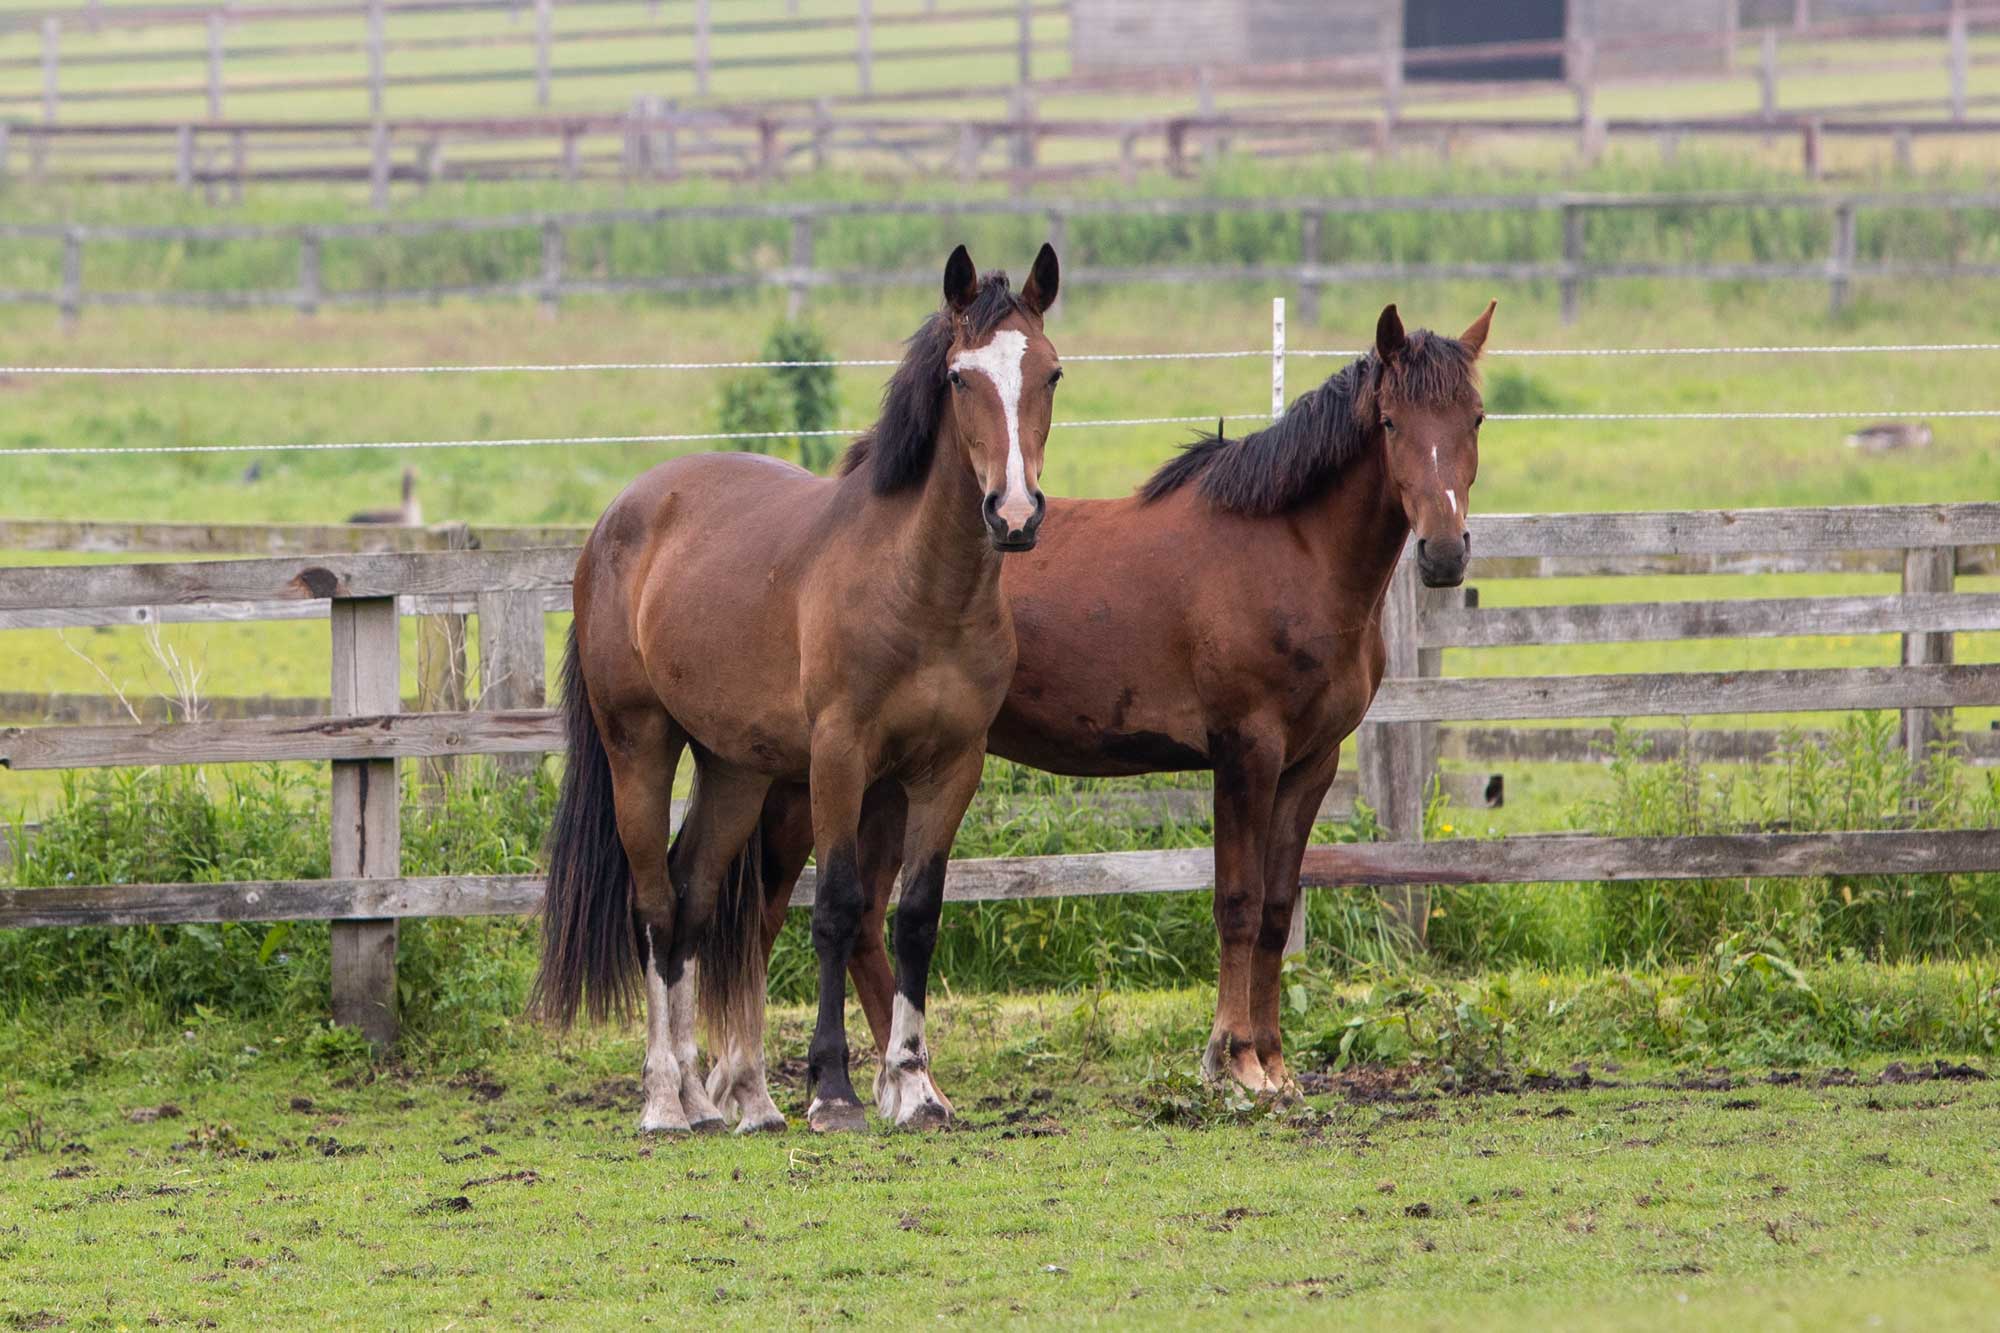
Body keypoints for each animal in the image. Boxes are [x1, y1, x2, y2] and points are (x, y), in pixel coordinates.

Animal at [531, 243, 1064, 1135]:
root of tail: (617, 517)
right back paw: (665, 1099)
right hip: (640, 743)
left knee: (697, 898)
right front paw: (834, 1089)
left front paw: (914, 1087)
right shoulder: (840, 759)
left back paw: (725, 1101)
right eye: (960, 378)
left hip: (734, 770)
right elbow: (839, 907)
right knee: (656, 904)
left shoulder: (951, 765)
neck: (921, 588)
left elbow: (916, 916)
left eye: (1052, 372)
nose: (1015, 513)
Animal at [722, 299, 1493, 1110]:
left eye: (1474, 417)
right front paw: (1233, 1060)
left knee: (866, 919)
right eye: (1390, 423)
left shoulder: (1311, 763)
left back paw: (902, 1080)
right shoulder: (1246, 754)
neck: (1290, 553)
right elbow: (1239, 901)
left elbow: (1279, 910)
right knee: (773, 916)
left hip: (890, 777)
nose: (1445, 552)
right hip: (813, 778)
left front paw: (1277, 1068)